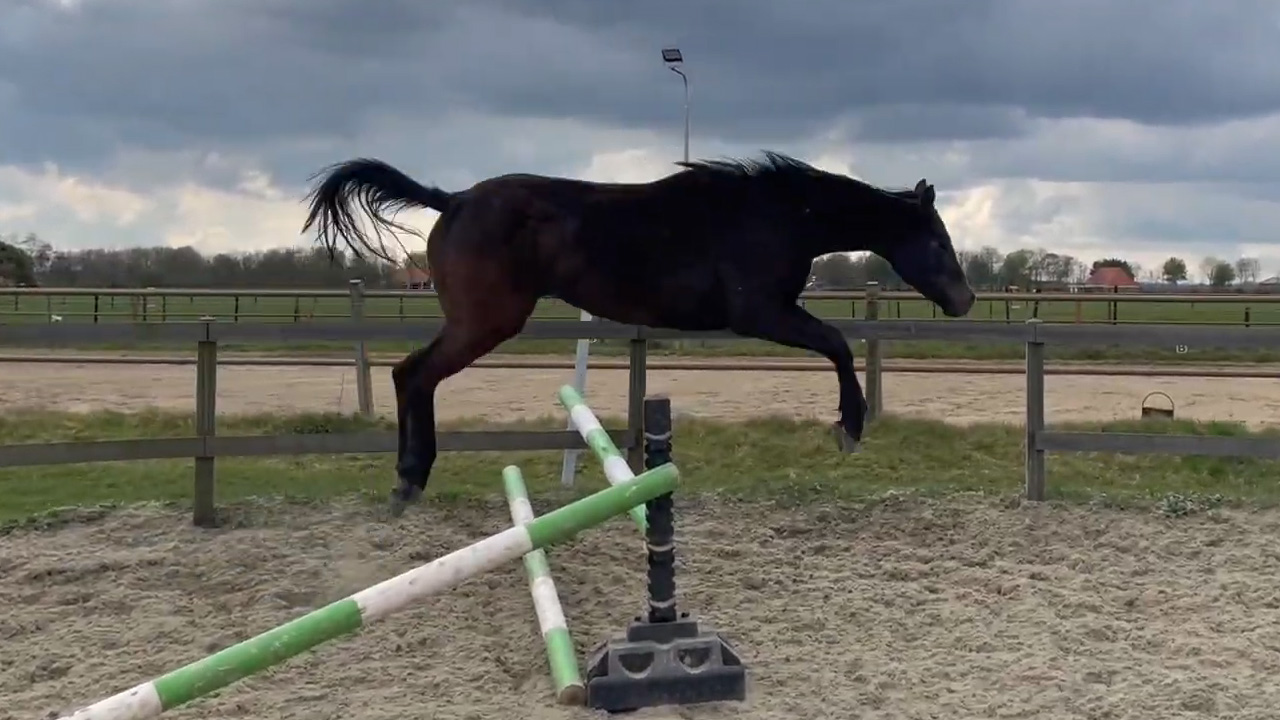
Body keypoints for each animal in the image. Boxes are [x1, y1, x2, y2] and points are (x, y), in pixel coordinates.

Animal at [301, 151, 975, 515]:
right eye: (939, 242)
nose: (966, 300)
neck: (776, 215)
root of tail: (453, 201)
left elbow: (836, 345)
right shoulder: (761, 313)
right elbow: (837, 344)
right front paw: (849, 428)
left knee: (408, 374)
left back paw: (406, 482)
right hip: (485, 323)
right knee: (413, 373)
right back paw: (409, 479)